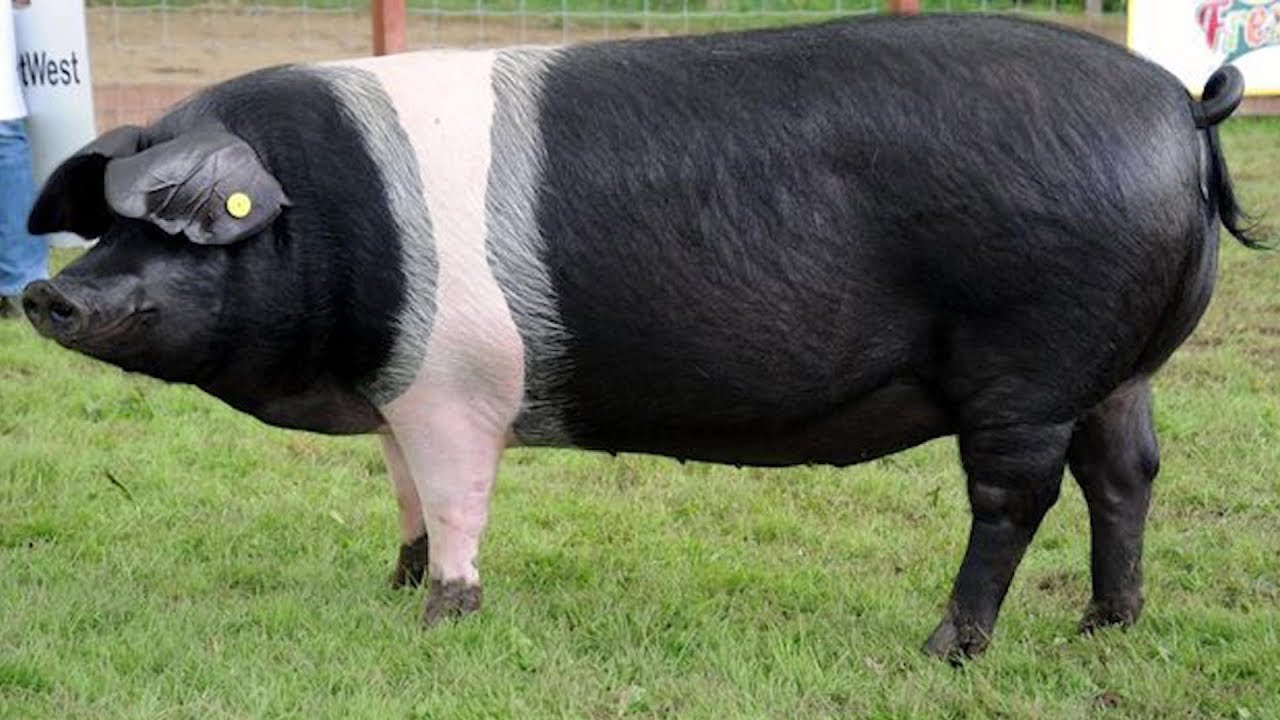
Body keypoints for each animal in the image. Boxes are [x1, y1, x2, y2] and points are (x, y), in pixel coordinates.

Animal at [21, 14, 1261, 660]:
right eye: (105, 223)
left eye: (180, 224)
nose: (51, 298)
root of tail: (1178, 108)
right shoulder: (398, 393)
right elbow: (405, 491)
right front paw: (393, 579)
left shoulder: (454, 390)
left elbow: (459, 497)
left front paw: (438, 620)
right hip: (1118, 366)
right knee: (1126, 472)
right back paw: (1103, 629)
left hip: (1029, 357)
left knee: (1016, 496)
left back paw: (942, 650)